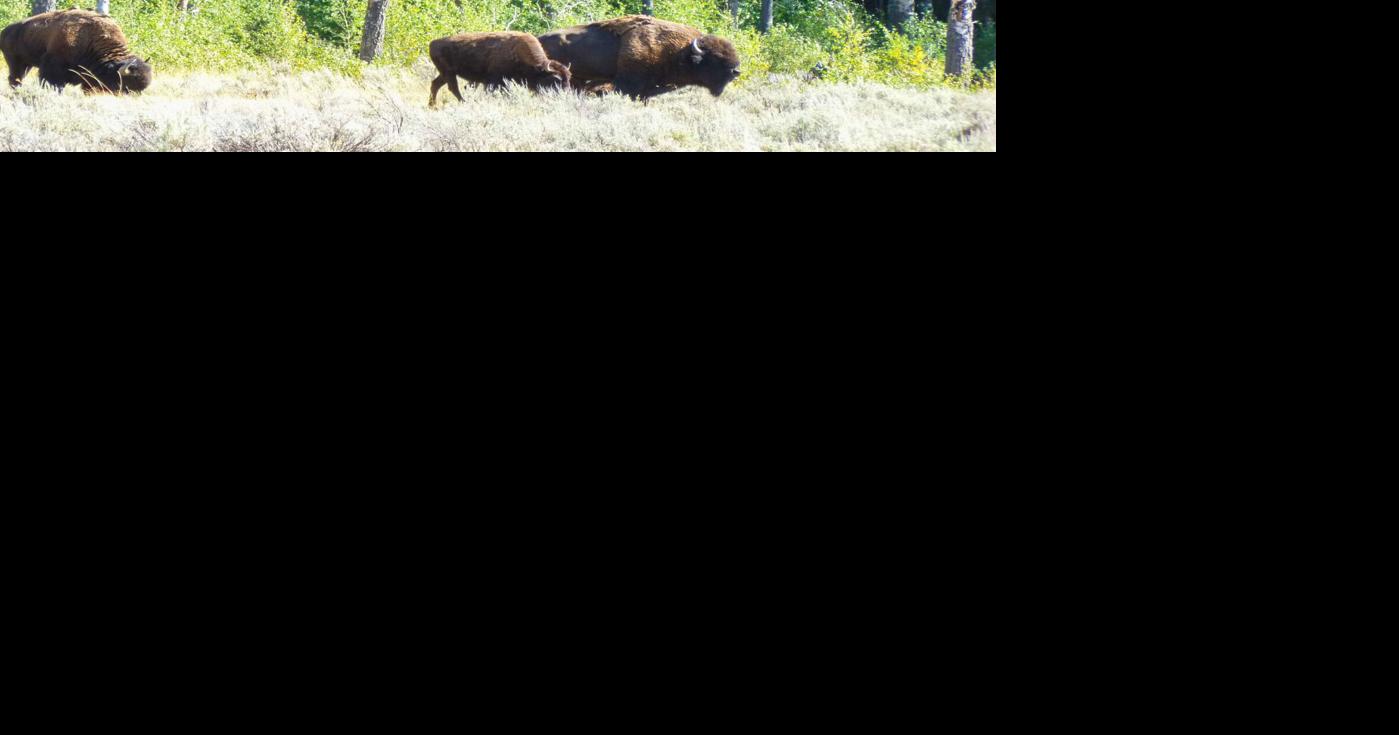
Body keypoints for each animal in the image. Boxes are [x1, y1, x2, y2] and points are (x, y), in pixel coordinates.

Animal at [2, 9, 151, 93]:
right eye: (126, 86)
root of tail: (4, 31)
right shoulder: (52, 68)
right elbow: (53, 83)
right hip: (15, 63)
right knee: (14, 78)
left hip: (27, 65)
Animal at [428, 32, 571, 106]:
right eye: (556, 79)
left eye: (569, 78)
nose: (565, 94)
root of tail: (432, 43)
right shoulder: (494, 82)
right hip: (448, 73)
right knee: (453, 88)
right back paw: (464, 102)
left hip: (445, 74)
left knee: (435, 84)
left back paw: (432, 106)